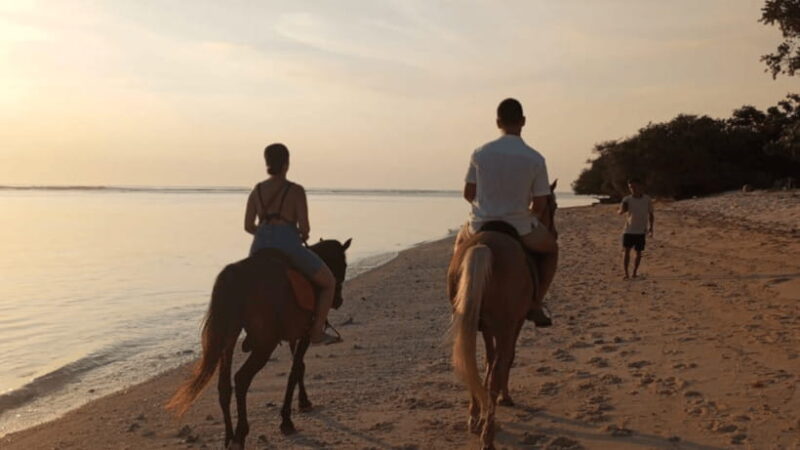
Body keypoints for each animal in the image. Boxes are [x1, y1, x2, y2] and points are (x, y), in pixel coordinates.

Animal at [166, 238, 352, 449]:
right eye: (344, 265)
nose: (338, 300)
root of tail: (234, 275)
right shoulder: (305, 333)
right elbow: (295, 369)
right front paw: (287, 419)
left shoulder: (294, 335)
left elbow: (299, 367)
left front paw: (303, 402)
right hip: (265, 344)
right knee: (241, 378)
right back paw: (240, 435)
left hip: (229, 337)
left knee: (224, 385)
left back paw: (229, 437)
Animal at [447, 182, 557, 450]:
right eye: (554, 205)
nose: (555, 232)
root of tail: (484, 245)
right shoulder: (513, 324)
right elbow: (506, 359)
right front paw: (505, 398)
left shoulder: (488, 328)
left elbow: (489, 360)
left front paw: (481, 409)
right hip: (506, 326)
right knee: (500, 367)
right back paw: (488, 434)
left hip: (470, 321)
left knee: (474, 363)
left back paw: (476, 419)